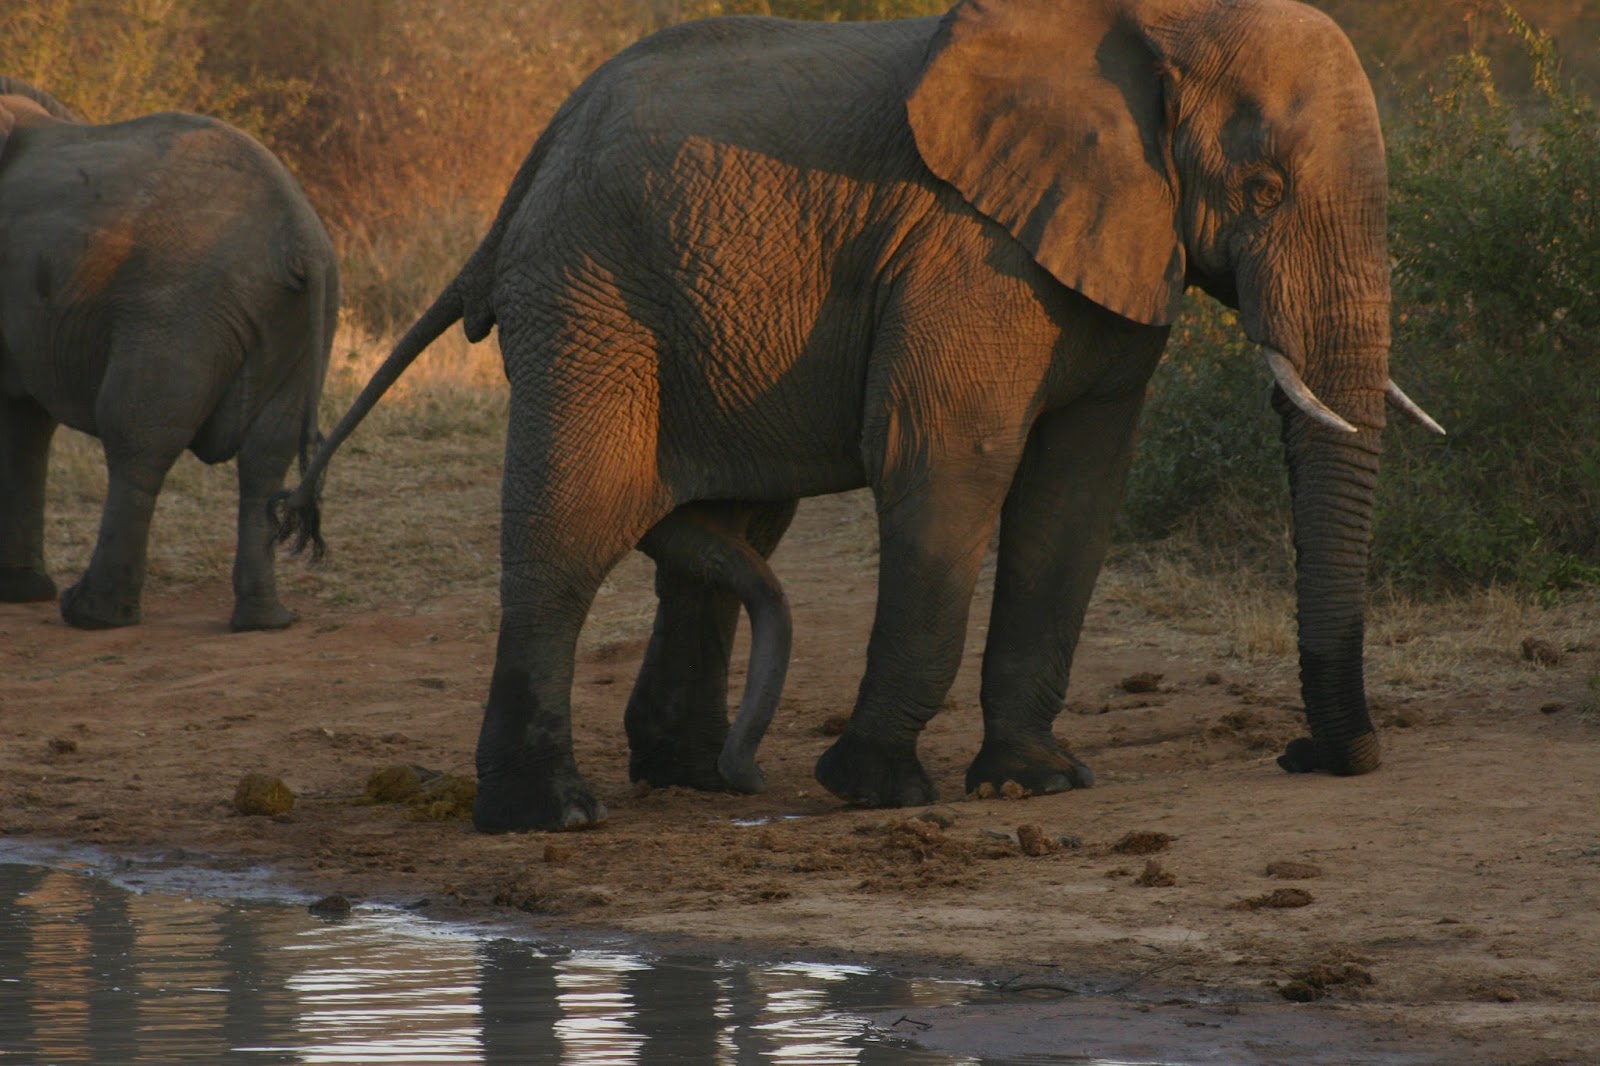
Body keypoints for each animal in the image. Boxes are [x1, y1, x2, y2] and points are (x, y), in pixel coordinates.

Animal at [0, 77, 340, 631]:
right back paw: (263, 620)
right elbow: (24, 419)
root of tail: (300, 238)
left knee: (137, 437)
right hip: (299, 325)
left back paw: (92, 613)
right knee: (267, 456)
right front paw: (22, 593)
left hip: (178, 309)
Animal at [276, 0, 1444, 832]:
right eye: (1262, 190)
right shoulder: (968, 252)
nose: (1304, 754)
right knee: (574, 526)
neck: (1155, 23)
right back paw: (548, 815)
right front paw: (876, 790)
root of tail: (531, 165)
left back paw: (702, 777)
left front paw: (1035, 784)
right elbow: (949, 462)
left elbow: (1075, 492)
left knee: (732, 533)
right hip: (588, 298)